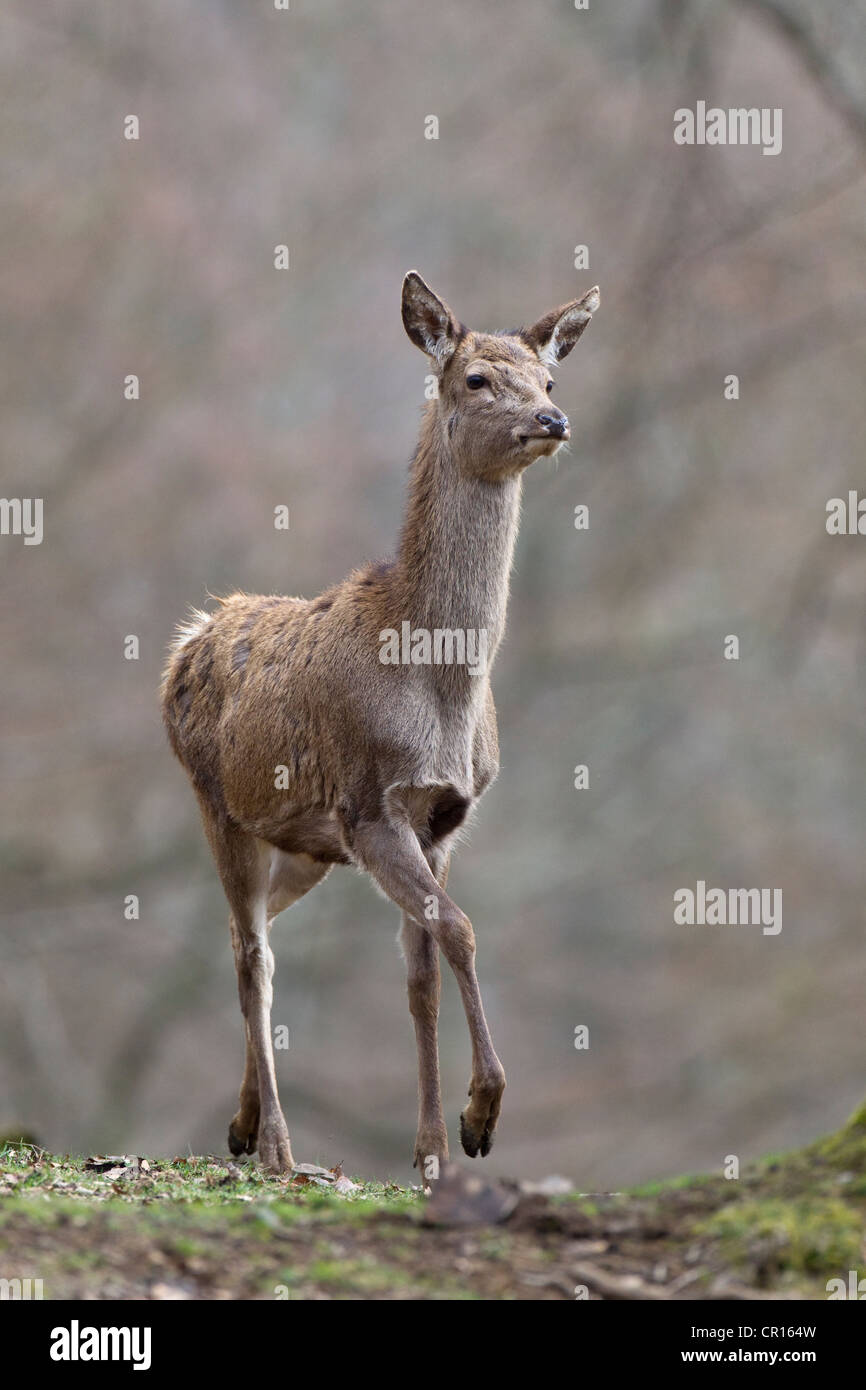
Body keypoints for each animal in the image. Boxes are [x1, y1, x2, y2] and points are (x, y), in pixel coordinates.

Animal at [161, 272, 600, 1175]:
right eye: (477, 379)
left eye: (550, 377)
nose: (553, 420)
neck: (440, 687)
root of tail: (187, 640)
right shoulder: (371, 808)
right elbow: (461, 929)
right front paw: (480, 1116)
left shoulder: (444, 818)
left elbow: (421, 973)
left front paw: (431, 1148)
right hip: (219, 803)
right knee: (253, 957)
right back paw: (279, 1146)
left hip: (302, 846)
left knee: (249, 934)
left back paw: (243, 1123)